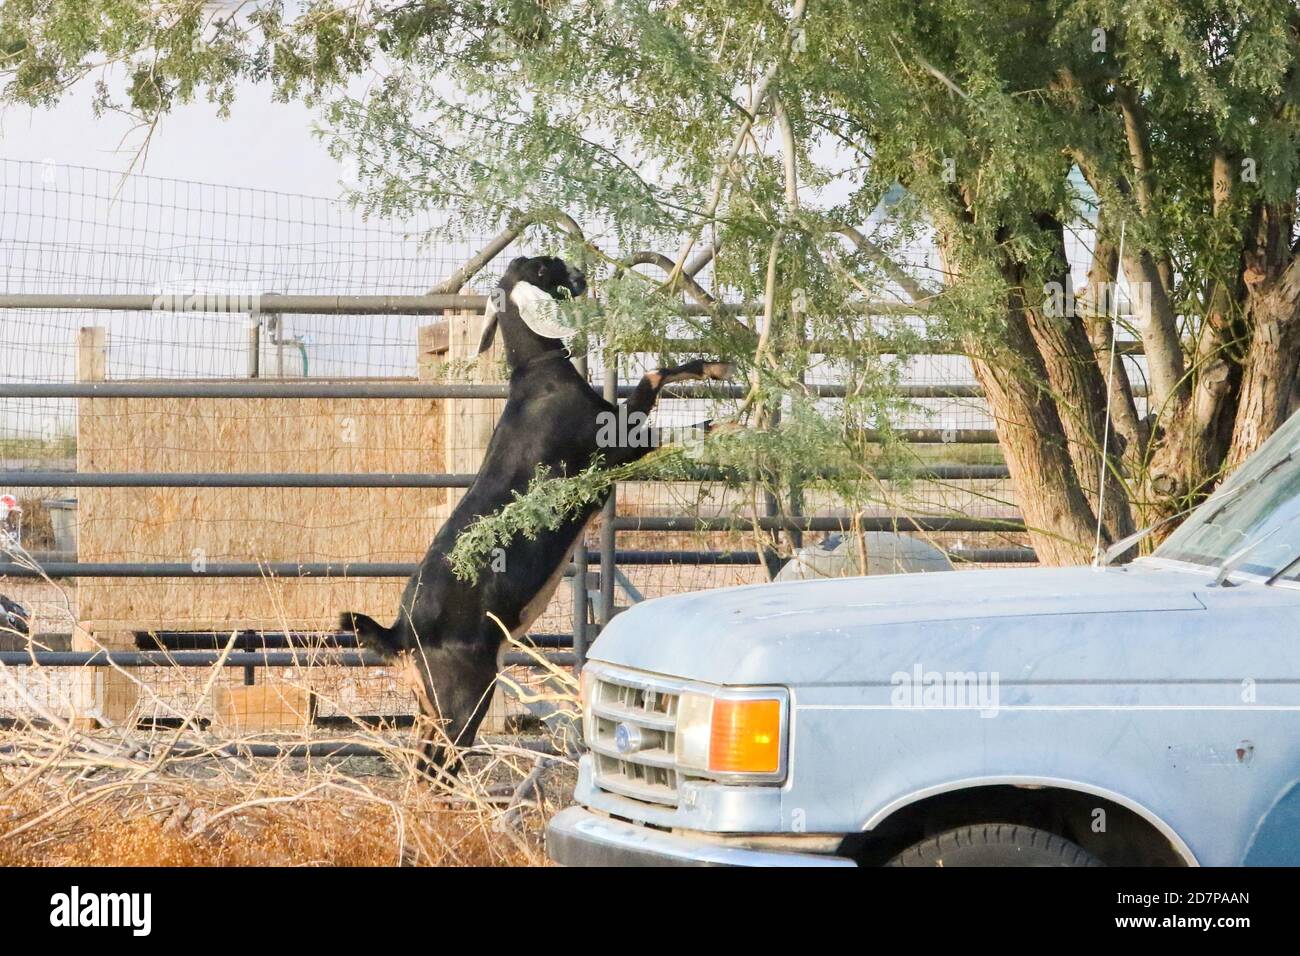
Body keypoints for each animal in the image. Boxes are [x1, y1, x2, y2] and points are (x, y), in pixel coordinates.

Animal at [341, 255, 729, 778]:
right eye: (547, 268)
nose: (583, 273)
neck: (539, 377)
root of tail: (401, 630)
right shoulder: (617, 449)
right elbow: (670, 425)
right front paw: (726, 422)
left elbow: (653, 374)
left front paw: (718, 365)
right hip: (463, 695)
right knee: (439, 768)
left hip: (429, 703)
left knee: (423, 766)